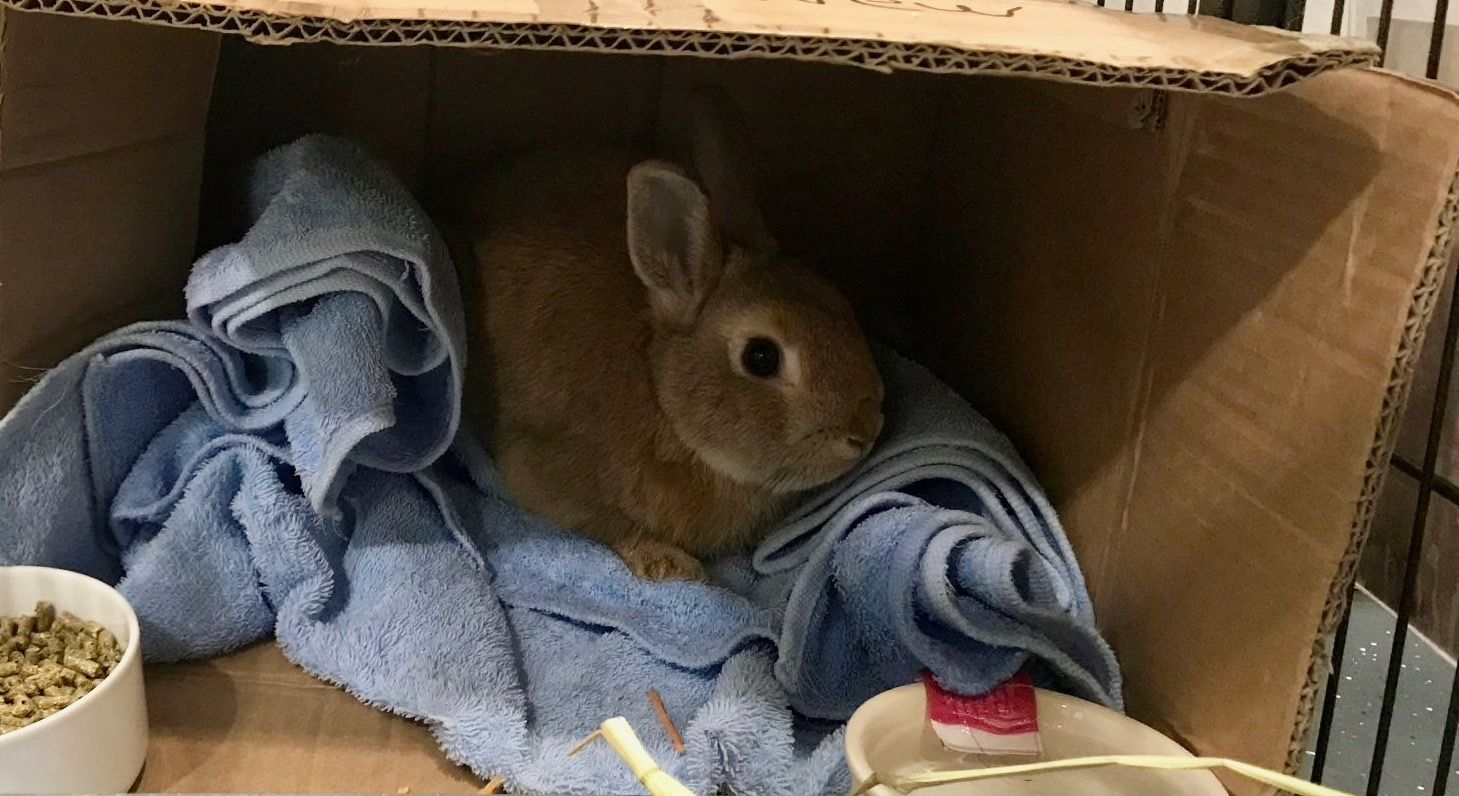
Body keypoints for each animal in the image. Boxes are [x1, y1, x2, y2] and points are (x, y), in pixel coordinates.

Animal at [457, 89, 885, 582]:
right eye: (761, 357)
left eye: (841, 303)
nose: (865, 431)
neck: (660, 387)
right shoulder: (545, 470)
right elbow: (610, 526)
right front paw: (670, 565)